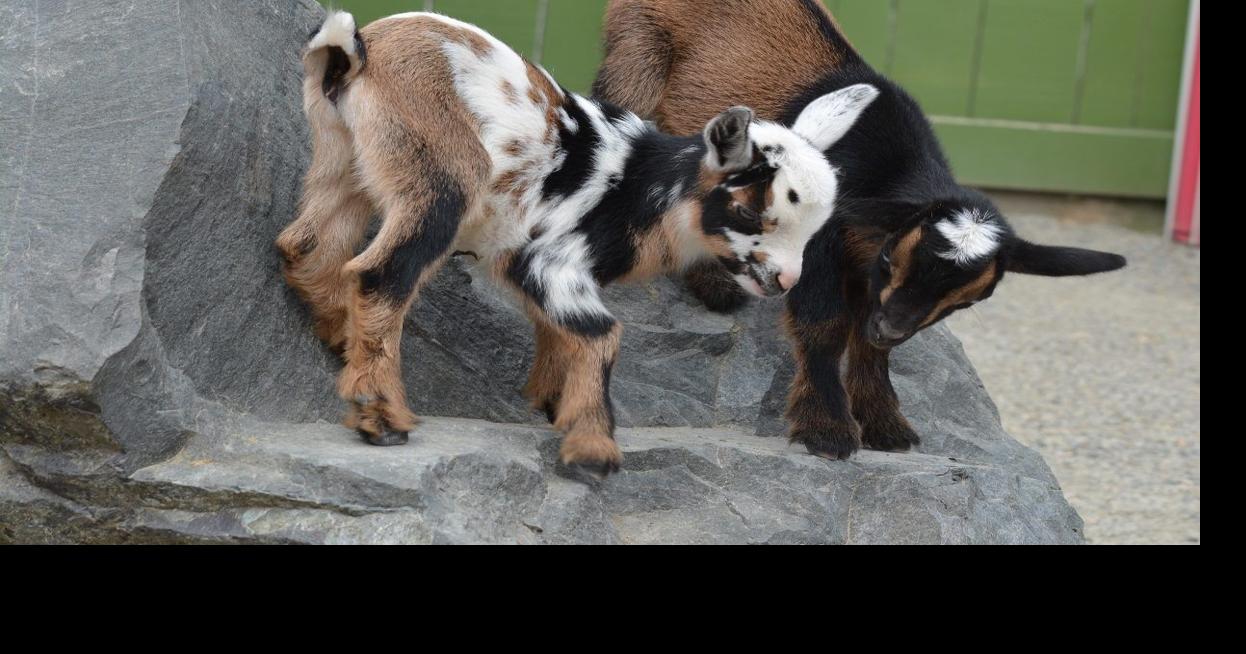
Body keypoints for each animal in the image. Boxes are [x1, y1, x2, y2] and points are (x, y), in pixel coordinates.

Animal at [276, 11, 878, 478]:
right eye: (754, 211)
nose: (786, 279)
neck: (643, 191)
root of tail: (360, 51)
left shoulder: (531, 265)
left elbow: (555, 328)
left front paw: (550, 402)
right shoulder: (549, 258)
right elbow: (600, 332)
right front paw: (592, 450)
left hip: (346, 158)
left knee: (307, 242)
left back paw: (337, 334)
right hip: (438, 175)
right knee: (382, 273)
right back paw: (380, 417)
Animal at [593, 0, 1127, 460]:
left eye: (970, 299)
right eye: (892, 258)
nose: (892, 327)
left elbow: (868, 343)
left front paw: (885, 425)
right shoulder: (818, 250)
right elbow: (825, 325)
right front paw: (827, 429)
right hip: (637, 50)